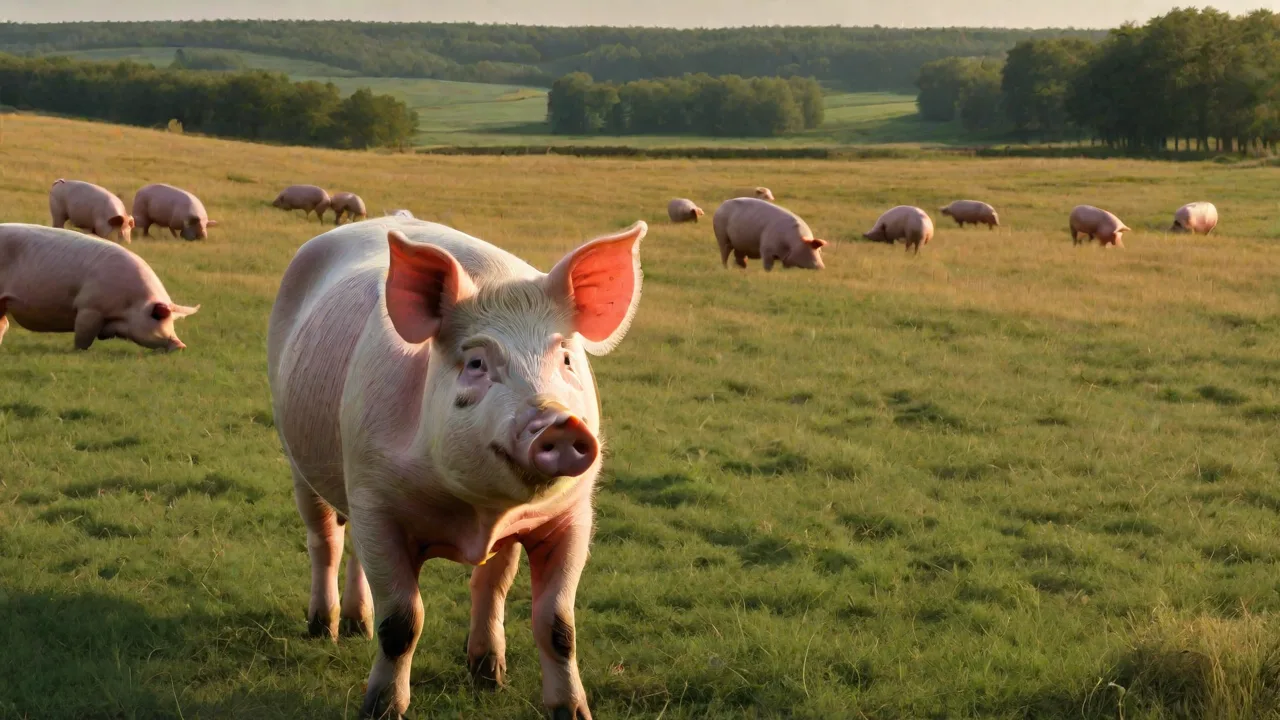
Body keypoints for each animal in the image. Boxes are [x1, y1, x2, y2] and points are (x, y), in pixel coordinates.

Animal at [0, 224, 199, 351]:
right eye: (158, 316)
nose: (181, 346)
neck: (129, 305)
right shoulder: (89, 308)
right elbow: (82, 338)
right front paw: (77, 352)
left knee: (4, 323)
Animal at [267, 216, 647, 720]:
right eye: (477, 362)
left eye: (565, 357)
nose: (559, 422)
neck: (478, 515)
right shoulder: (377, 501)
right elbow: (402, 621)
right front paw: (381, 711)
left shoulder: (572, 515)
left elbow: (557, 624)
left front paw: (542, 701)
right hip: (297, 456)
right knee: (324, 541)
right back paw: (322, 630)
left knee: (469, 577)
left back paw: (371, 632)